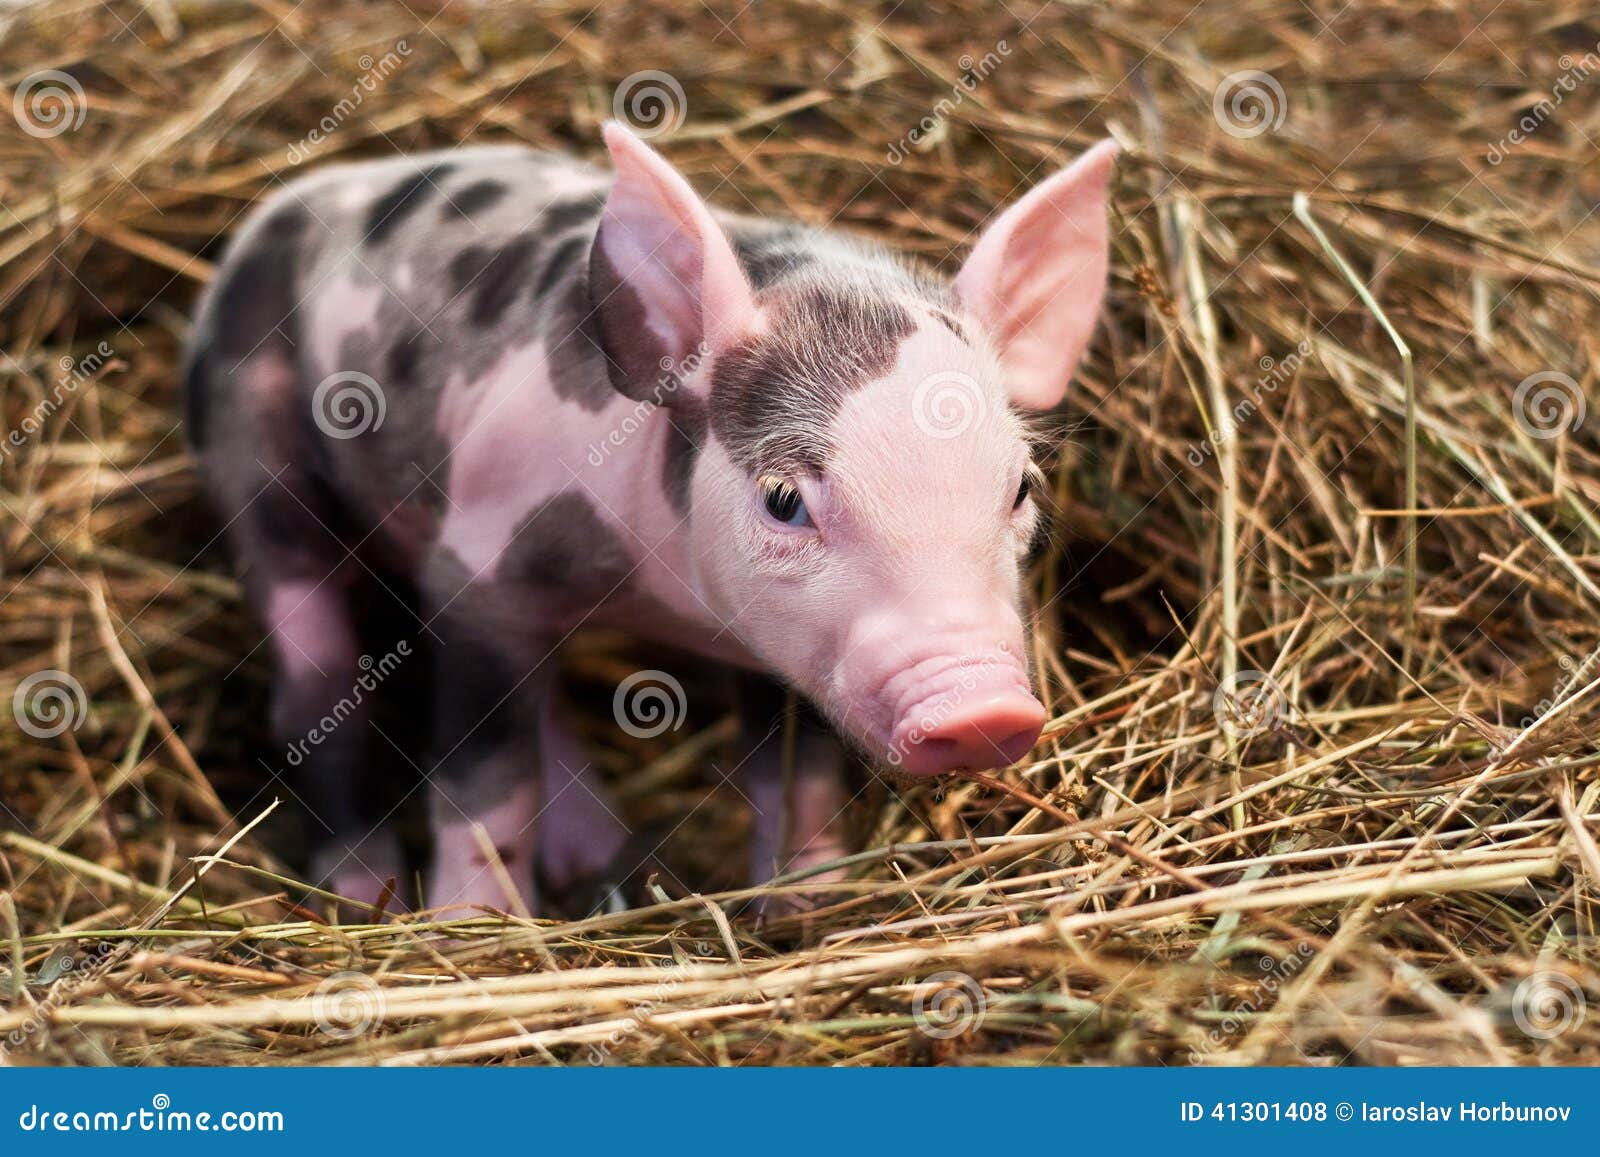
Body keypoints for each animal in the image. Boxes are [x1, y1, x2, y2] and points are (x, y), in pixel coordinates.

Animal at [182, 122, 1117, 916]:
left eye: (1022, 486)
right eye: (784, 500)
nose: (983, 706)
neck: (664, 601)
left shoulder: (790, 648)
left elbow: (798, 777)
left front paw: (809, 907)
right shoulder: (476, 565)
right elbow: (487, 779)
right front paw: (472, 929)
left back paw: (596, 852)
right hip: (253, 447)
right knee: (313, 681)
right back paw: (365, 898)